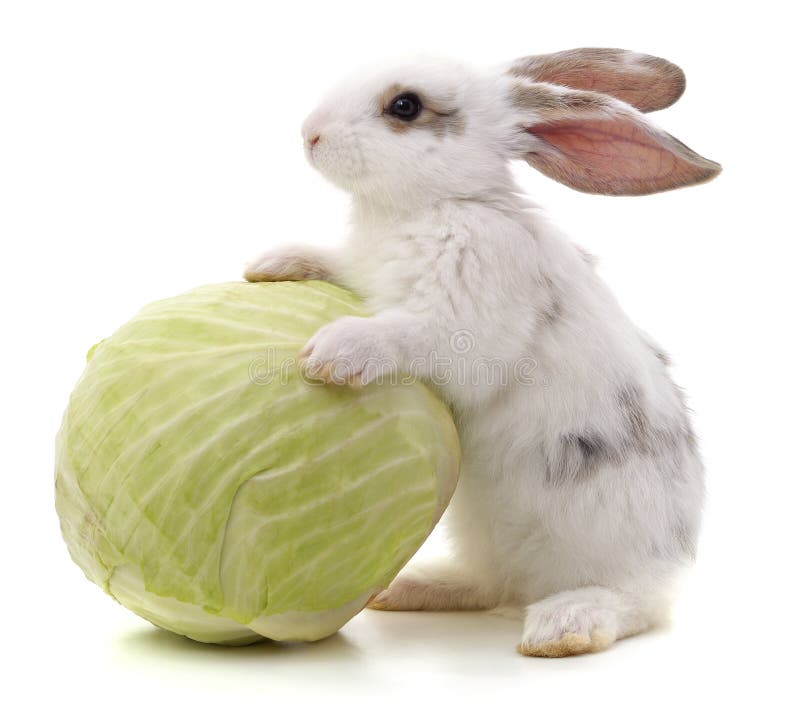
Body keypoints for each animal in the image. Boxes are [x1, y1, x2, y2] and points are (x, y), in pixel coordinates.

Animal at [245, 48, 720, 657]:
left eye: (405, 106)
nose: (311, 133)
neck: (439, 203)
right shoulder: (362, 271)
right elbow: (336, 264)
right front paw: (274, 263)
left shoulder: (462, 319)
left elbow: (408, 335)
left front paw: (334, 351)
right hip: (480, 530)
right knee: (489, 583)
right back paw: (412, 587)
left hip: (614, 545)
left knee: (637, 602)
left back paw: (565, 625)